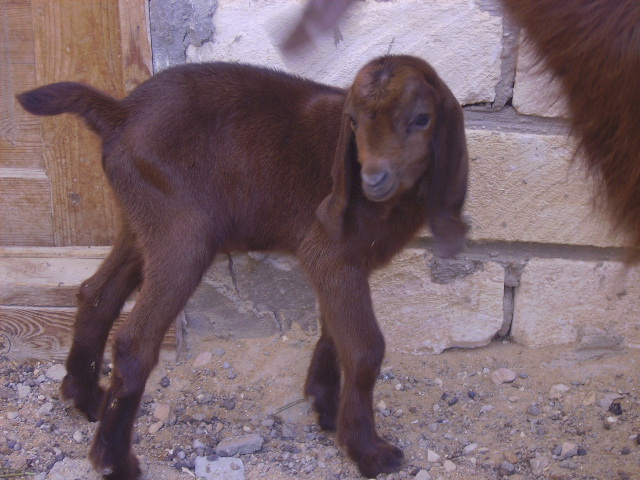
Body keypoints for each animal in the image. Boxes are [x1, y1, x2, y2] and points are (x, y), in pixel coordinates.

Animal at [17, 55, 468, 479]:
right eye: (353, 122)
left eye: (422, 118)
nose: (374, 179)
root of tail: (120, 113)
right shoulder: (332, 255)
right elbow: (364, 347)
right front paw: (368, 452)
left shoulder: (339, 267)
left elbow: (333, 332)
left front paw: (325, 406)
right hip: (183, 234)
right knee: (133, 343)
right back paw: (113, 460)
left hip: (141, 221)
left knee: (97, 293)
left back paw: (84, 396)